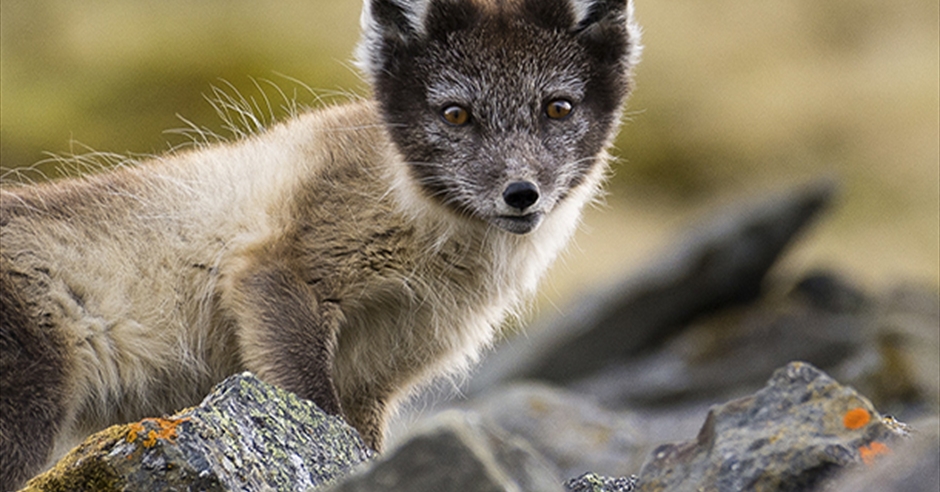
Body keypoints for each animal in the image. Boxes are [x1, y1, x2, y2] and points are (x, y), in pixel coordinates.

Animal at [0, 0, 641, 488]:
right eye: (456, 114)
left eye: (557, 107)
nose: (521, 194)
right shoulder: (278, 270)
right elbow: (315, 407)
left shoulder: (375, 379)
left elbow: (364, 437)